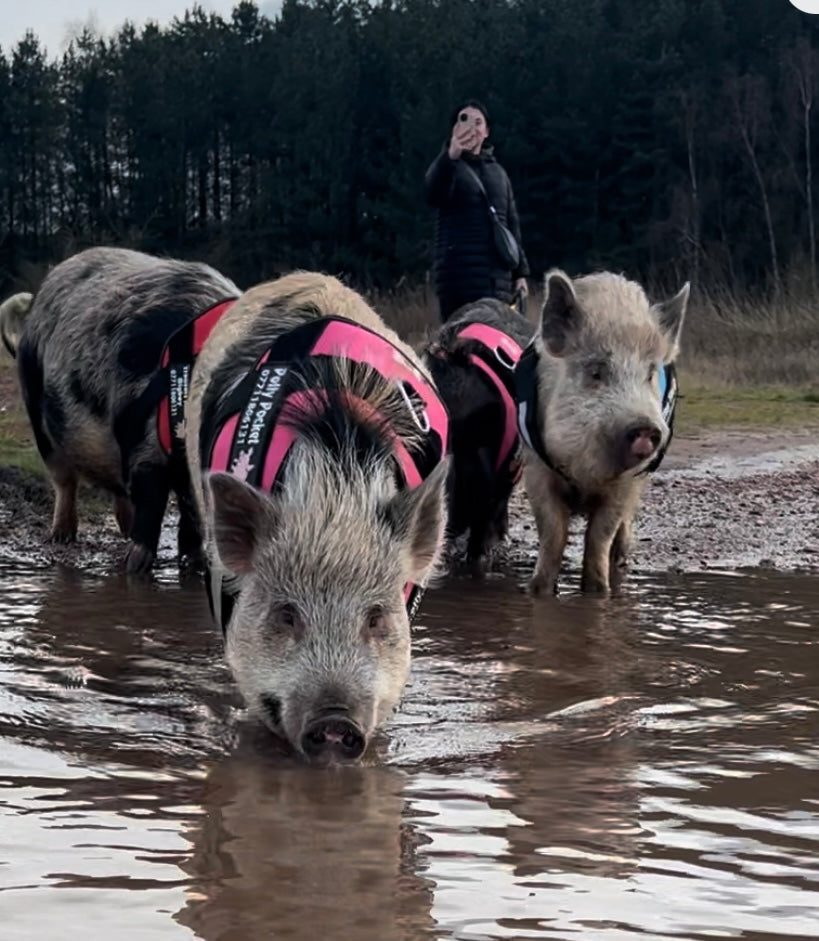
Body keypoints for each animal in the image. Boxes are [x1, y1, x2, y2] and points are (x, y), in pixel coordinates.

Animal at [0, 247, 240, 572]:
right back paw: (62, 537)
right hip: (38, 413)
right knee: (65, 482)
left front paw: (195, 563)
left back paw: (122, 532)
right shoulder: (146, 438)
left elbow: (190, 510)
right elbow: (153, 496)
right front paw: (135, 566)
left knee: (119, 491)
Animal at [520, 269, 688, 595]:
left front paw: (599, 592)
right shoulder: (536, 469)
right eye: (596, 372)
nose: (644, 426)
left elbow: (600, 535)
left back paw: (621, 559)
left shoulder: (627, 483)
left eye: (650, 374)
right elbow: (552, 532)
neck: (585, 472)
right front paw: (537, 590)